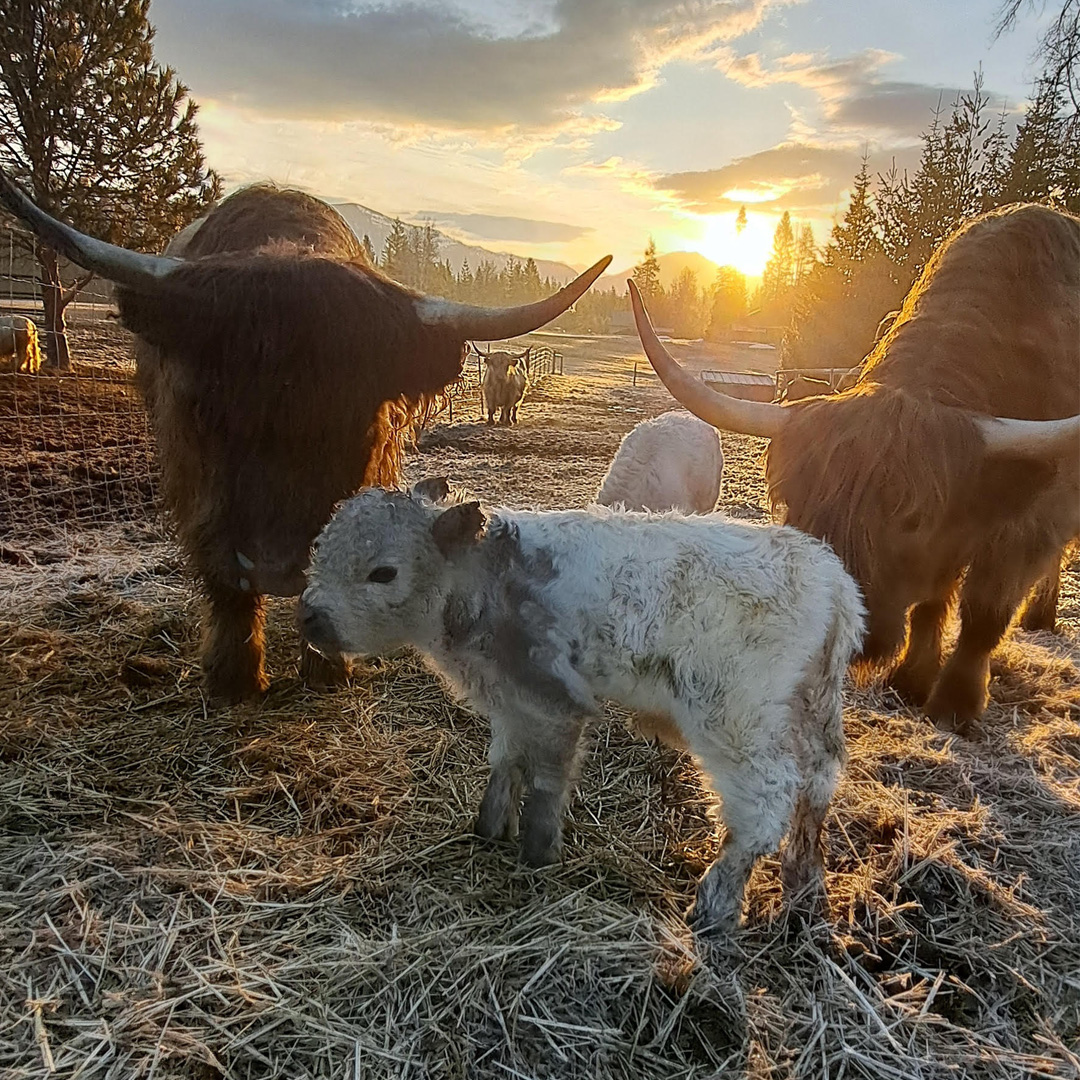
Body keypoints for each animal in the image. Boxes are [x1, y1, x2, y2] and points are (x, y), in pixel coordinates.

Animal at [0, 170, 610, 702]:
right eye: (206, 409)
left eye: (358, 419)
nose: (273, 567)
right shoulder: (195, 484)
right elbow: (220, 574)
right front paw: (235, 678)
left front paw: (328, 666)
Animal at [298, 481, 865, 937]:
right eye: (319, 548)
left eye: (383, 573)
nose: (309, 617)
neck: (487, 581)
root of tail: (834, 582)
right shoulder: (510, 698)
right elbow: (506, 761)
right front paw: (489, 829)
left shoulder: (554, 697)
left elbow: (548, 774)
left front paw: (538, 854)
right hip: (808, 708)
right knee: (818, 780)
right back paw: (804, 887)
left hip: (736, 715)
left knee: (766, 800)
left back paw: (716, 906)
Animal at [630, 202, 1080, 735]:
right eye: (792, 501)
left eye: (914, 519)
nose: (826, 631)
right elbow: (931, 601)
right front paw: (911, 680)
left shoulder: (1030, 521)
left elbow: (984, 611)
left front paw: (955, 704)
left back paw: (1041, 616)